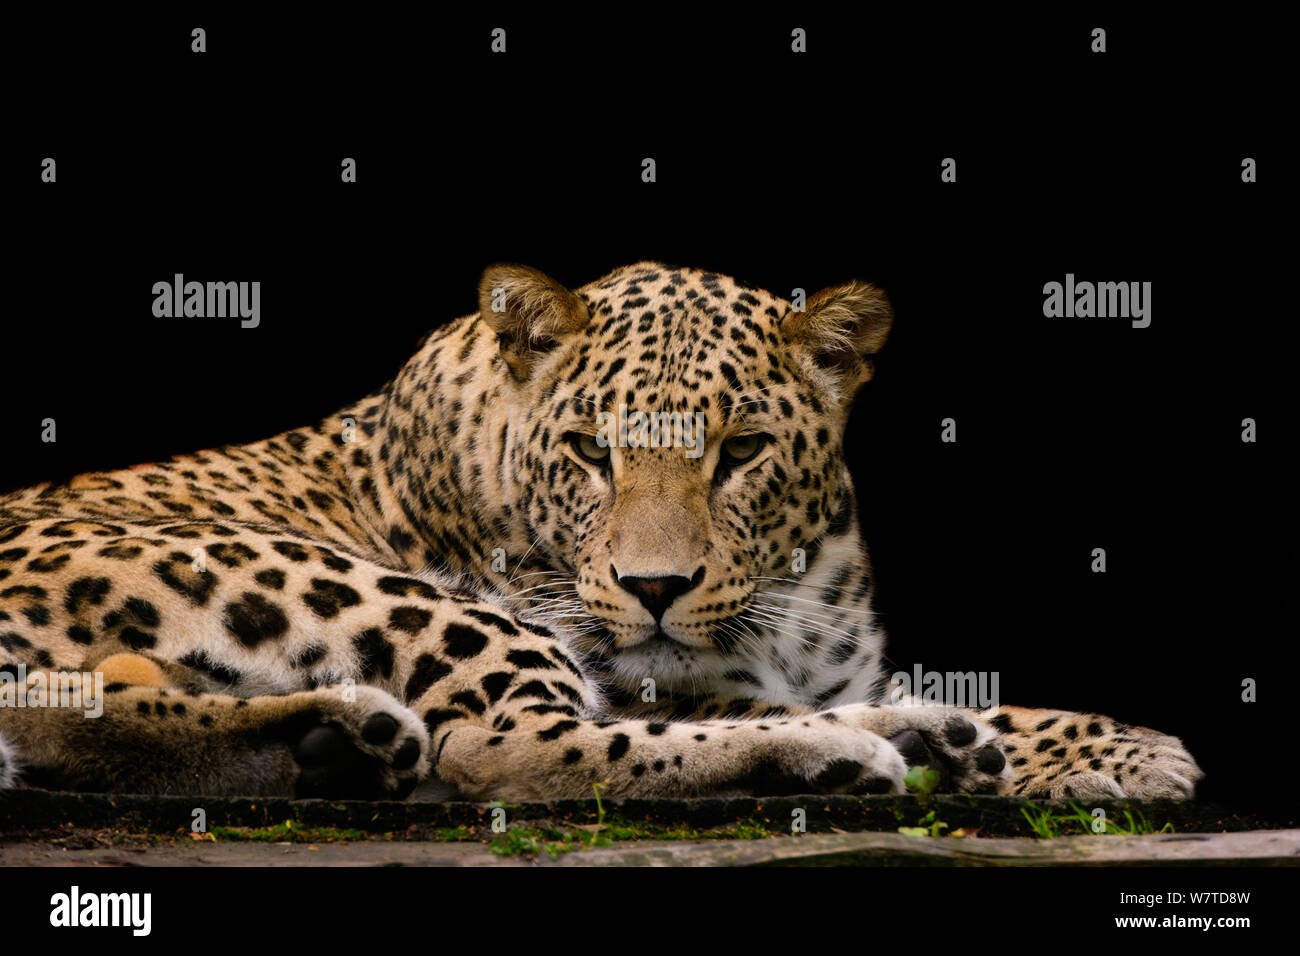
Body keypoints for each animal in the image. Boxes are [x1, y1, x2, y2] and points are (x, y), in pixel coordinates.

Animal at [0, 262, 1202, 802]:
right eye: (588, 450)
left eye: (742, 450)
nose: (654, 587)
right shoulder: (631, 661)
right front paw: (1115, 749)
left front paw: (1093, 742)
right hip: (370, 591)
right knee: (502, 746)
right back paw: (862, 753)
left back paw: (326, 743)